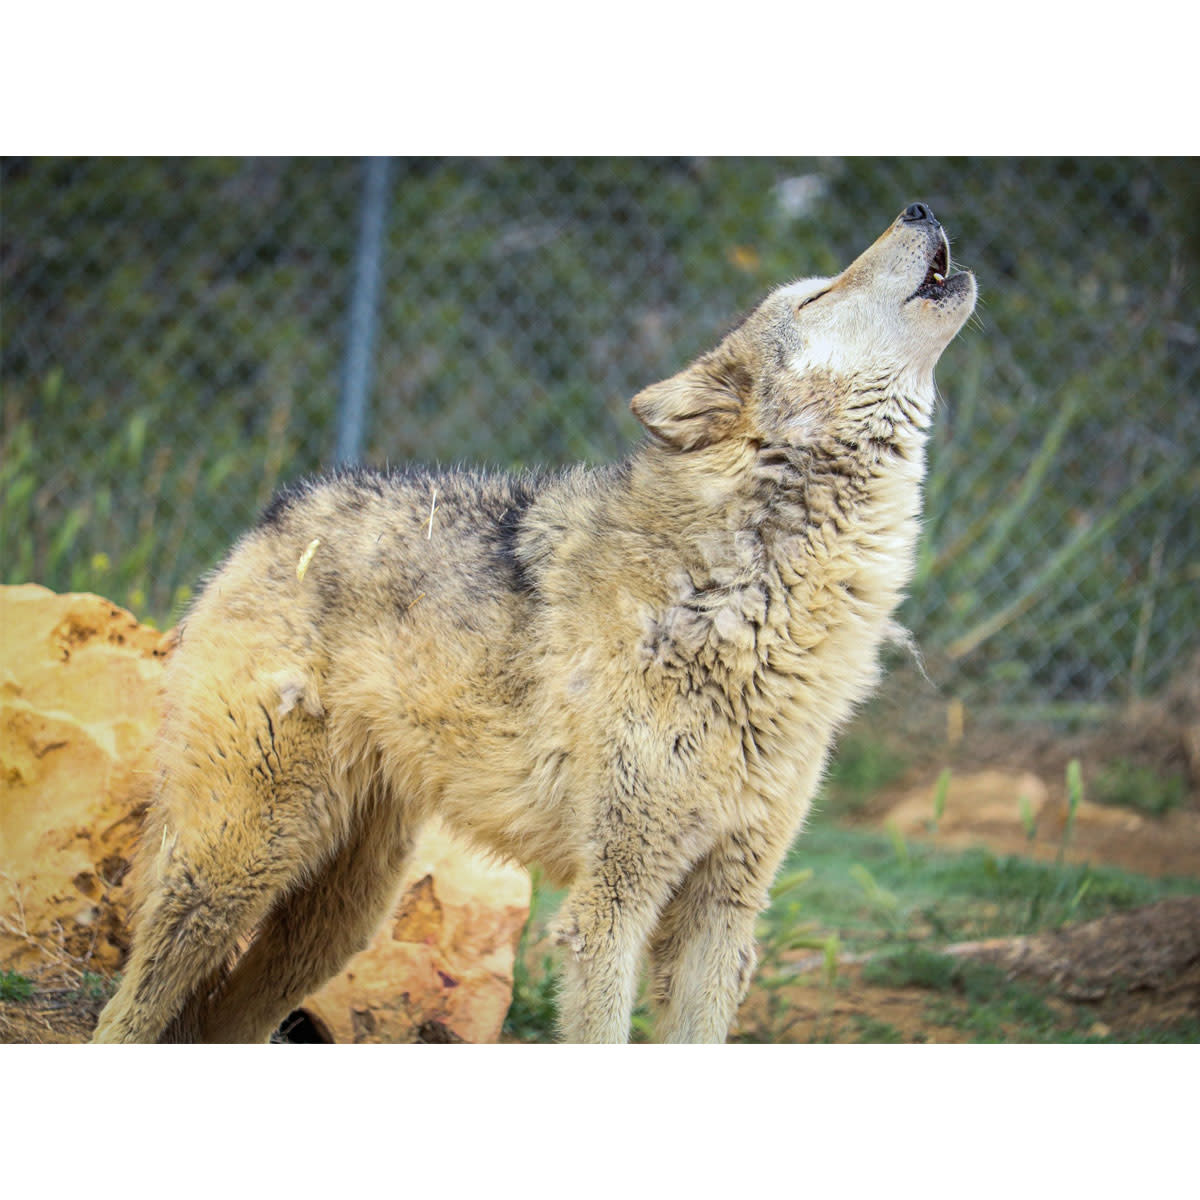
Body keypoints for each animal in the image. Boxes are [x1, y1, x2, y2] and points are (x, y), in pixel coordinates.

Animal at [92, 203, 975, 1044]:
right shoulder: (613, 900)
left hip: (341, 914)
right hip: (234, 871)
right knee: (123, 1018)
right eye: (815, 298)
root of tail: (270, 519)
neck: (748, 596)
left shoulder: (723, 911)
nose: (920, 207)